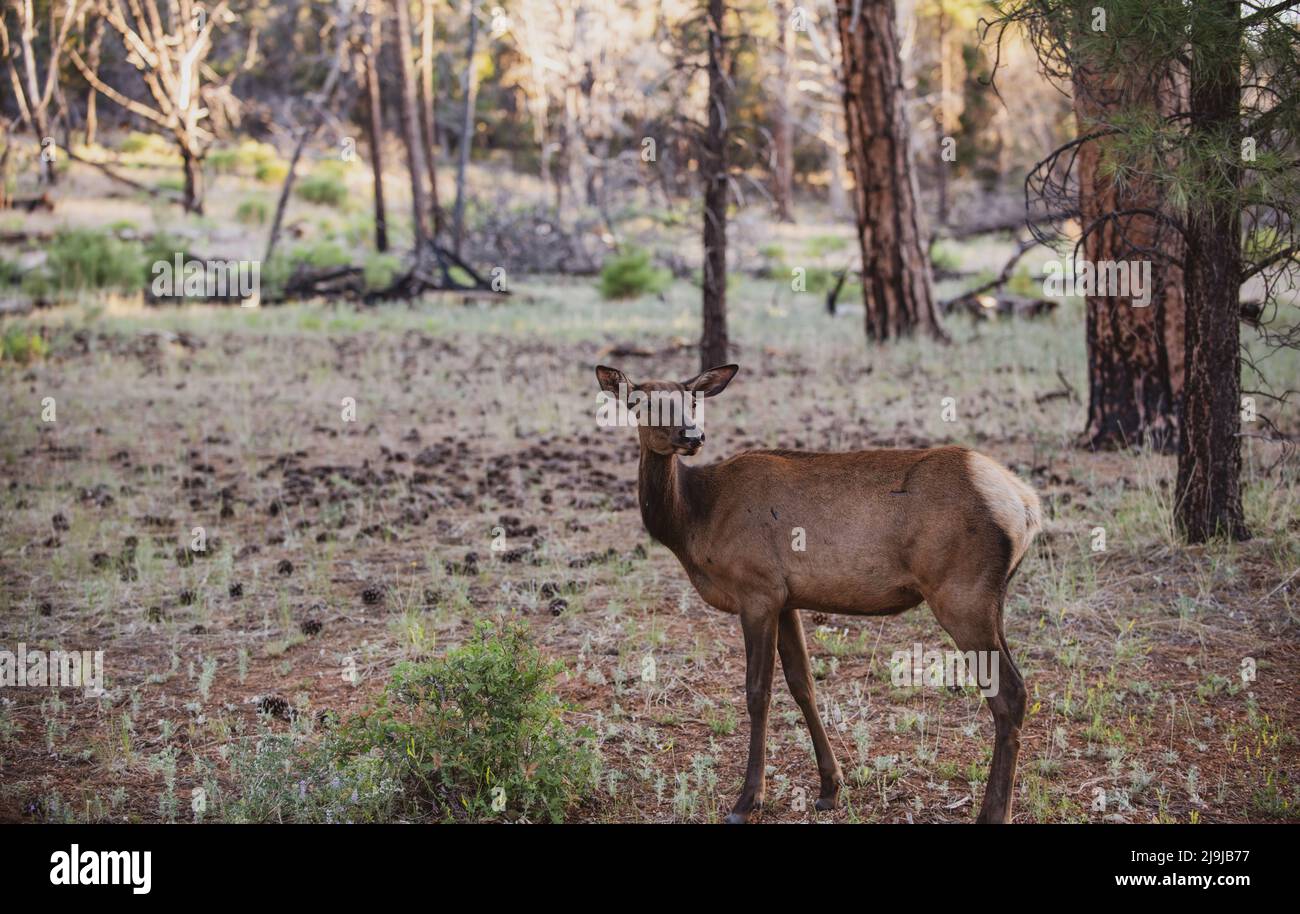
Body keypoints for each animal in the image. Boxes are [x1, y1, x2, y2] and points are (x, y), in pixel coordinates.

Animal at [595, 363, 1042, 824]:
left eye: (692, 401)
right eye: (641, 402)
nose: (692, 435)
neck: (694, 523)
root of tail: (1027, 505)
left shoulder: (756, 589)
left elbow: (758, 692)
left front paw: (747, 800)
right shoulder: (785, 598)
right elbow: (803, 684)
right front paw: (830, 787)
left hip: (960, 594)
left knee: (1010, 694)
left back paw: (993, 813)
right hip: (990, 598)